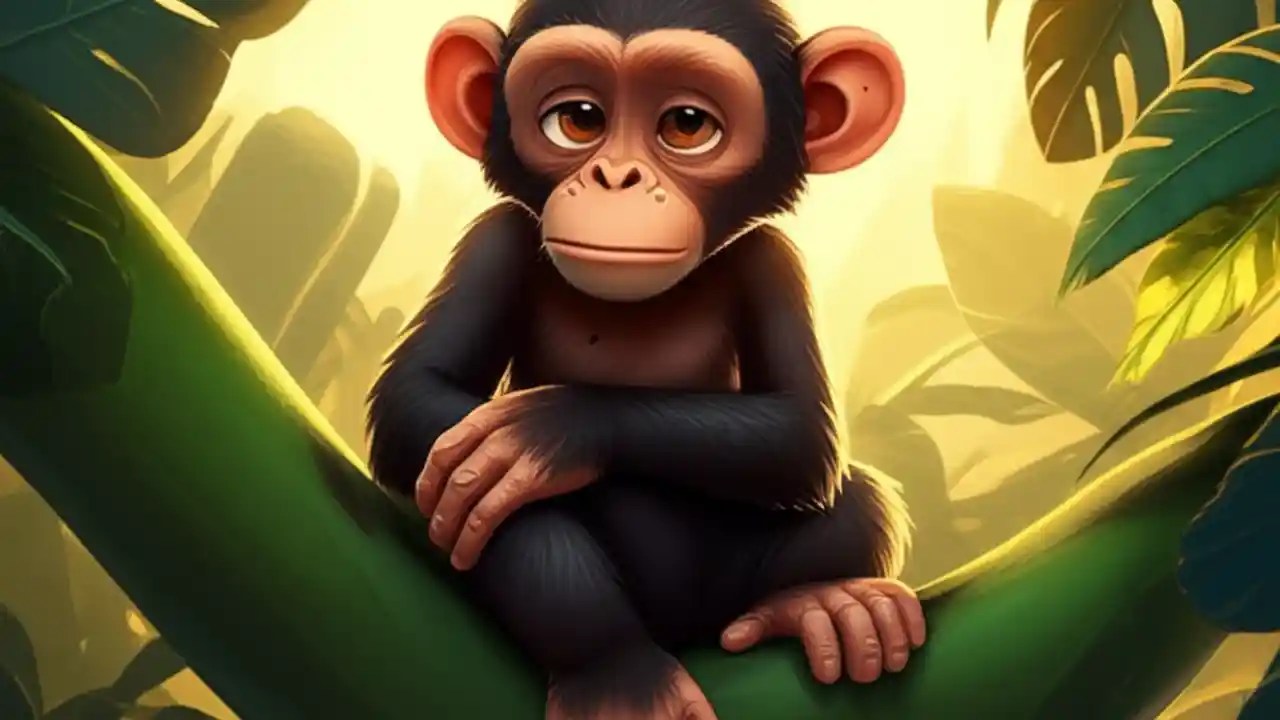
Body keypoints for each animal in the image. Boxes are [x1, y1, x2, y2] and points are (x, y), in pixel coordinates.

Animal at [366, 1, 924, 718]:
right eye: (578, 118)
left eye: (686, 125)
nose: (615, 177)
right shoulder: (497, 237)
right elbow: (422, 404)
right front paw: (613, 664)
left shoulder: (774, 262)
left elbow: (803, 431)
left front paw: (549, 431)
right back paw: (622, 668)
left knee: (861, 500)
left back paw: (821, 602)